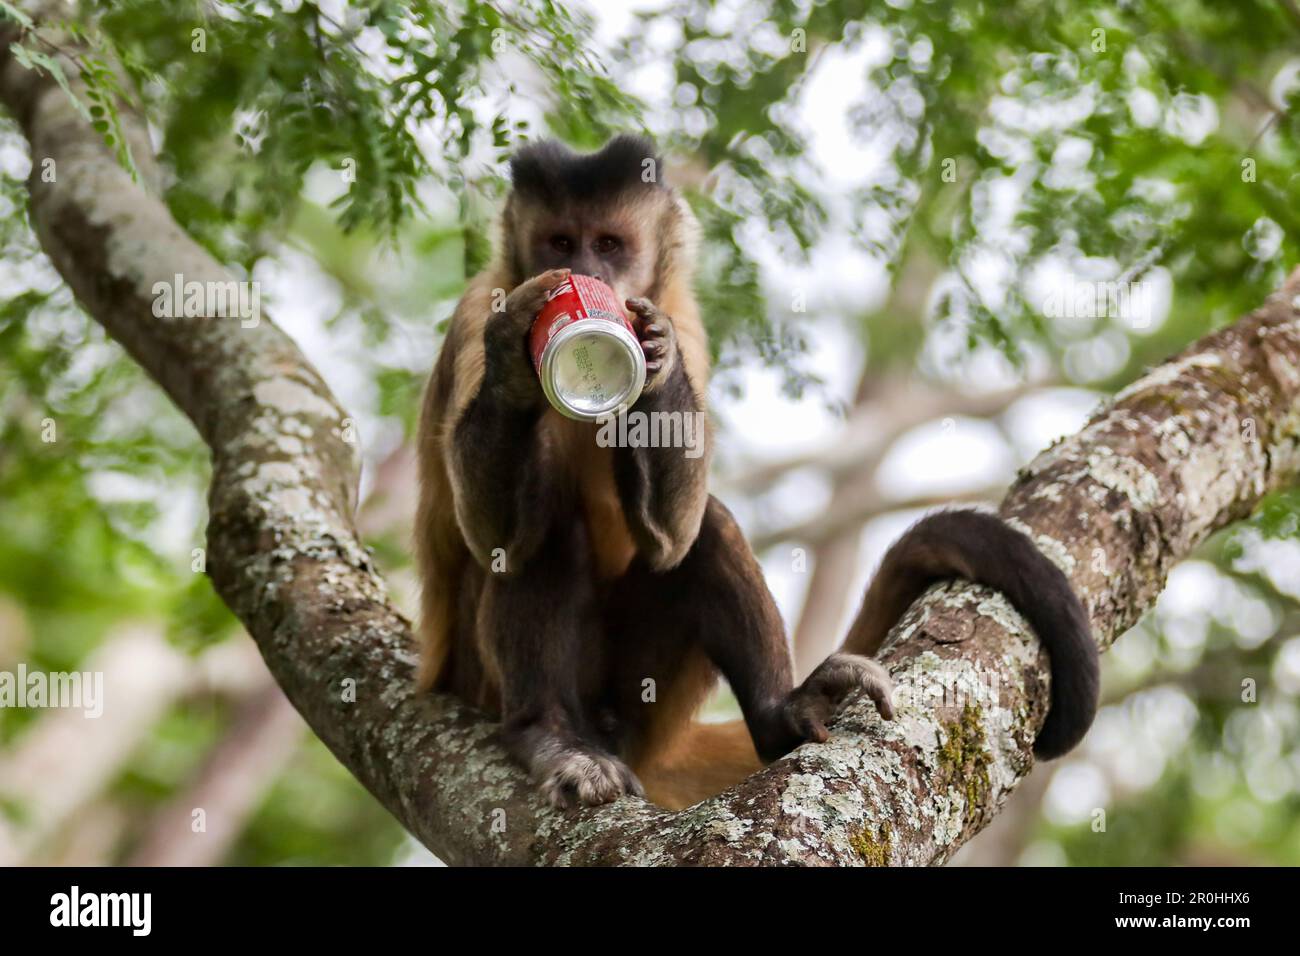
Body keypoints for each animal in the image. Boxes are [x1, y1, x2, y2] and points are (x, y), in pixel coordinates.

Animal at [414, 133, 1099, 810]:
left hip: (648, 709)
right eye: (561, 244)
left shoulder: (685, 316)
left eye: (607, 245)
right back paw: (551, 736)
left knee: (704, 527)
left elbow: (672, 537)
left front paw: (655, 355)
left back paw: (782, 717)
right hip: (482, 682)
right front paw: (513, 360)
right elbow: (499, 538)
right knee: (543, 536)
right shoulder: (477, 311)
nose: (590, 274)